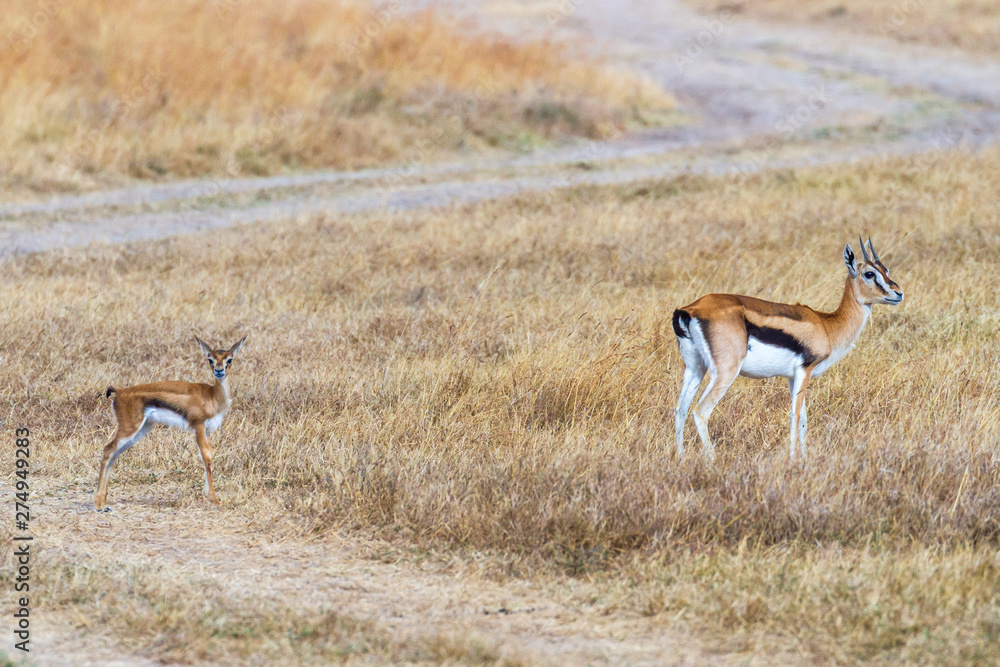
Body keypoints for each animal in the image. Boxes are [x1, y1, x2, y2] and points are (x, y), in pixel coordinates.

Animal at [95, 336, 247, 511]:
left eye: (229, 359)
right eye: (210, 359)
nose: (219, 370)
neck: (211, 396)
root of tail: (119, 392)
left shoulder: (206, 430)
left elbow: (205, 457)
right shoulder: (199, 426)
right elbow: (206, 456)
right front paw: (215, 500)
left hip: (139, 431)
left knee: (114, 454)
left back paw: (106, 503)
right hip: (129, 428)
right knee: (107, 450)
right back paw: (99, 505)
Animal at [672, 238, 903, 460]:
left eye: (886, 270)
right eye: (869, 273)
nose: (898, 293)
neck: (826, 325)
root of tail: (690, 309)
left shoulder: (792, 377)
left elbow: (804, 419)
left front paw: (804, 459)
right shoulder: (804, 371)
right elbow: (795, 415)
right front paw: (793, 460)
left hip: (696, 369)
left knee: (680, 409)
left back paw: (681, 458)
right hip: (725, 372)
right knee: (700, 412)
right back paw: (713, 461)